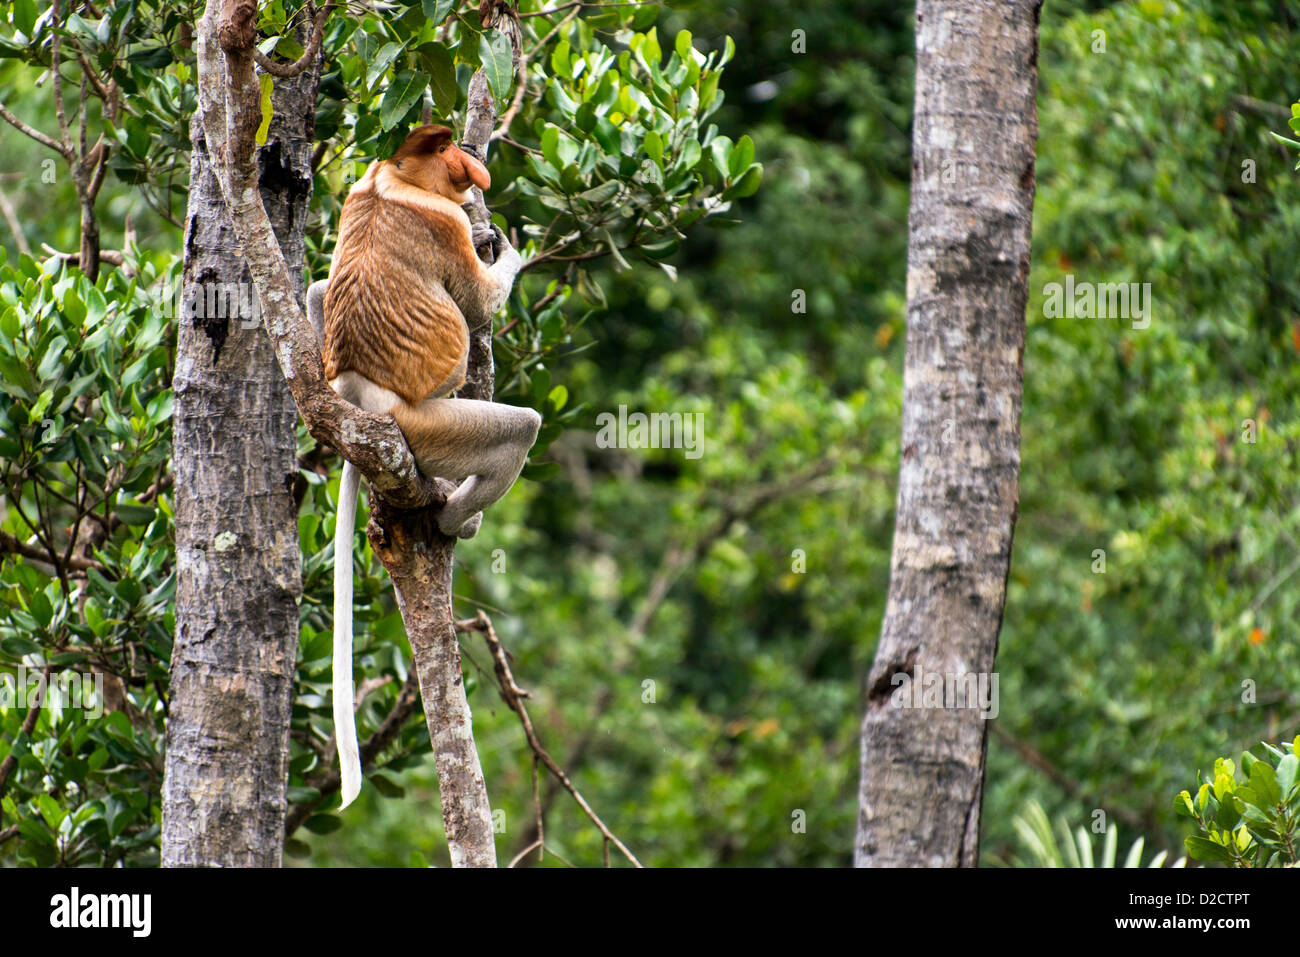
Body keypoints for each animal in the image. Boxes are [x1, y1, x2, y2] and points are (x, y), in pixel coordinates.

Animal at [306, 125, 542, 808]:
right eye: (448, 151)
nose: (472, 166)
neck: (395, 178)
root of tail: (361, 399)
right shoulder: (443, 226)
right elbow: (480, 303)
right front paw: (505, 245)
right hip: (425, 426)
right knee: (520, 428)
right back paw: (455, 519)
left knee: (314, 290)